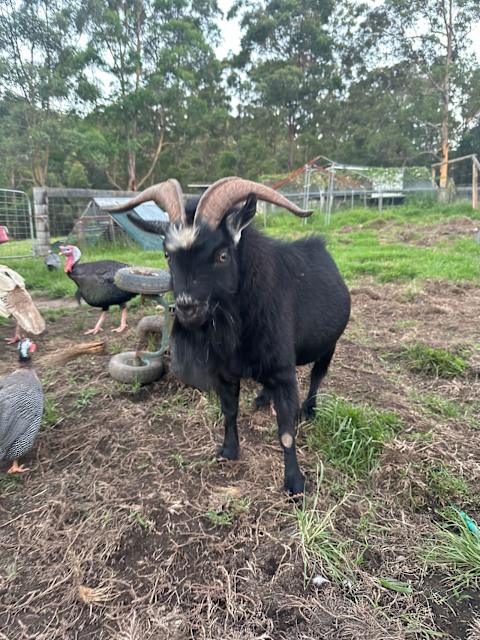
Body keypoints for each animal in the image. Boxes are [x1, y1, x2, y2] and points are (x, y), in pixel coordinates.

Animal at [109, 178, 350, 495]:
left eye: (222, 255)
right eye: (168, 255)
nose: (187, 307)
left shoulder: (284, 371)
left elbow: (286, 431)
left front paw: (295, 484)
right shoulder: (224, 370)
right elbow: (229, 412)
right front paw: (229, 451)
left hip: (329, 345)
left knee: (317, 376)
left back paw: (309, 409)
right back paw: (263, 399)